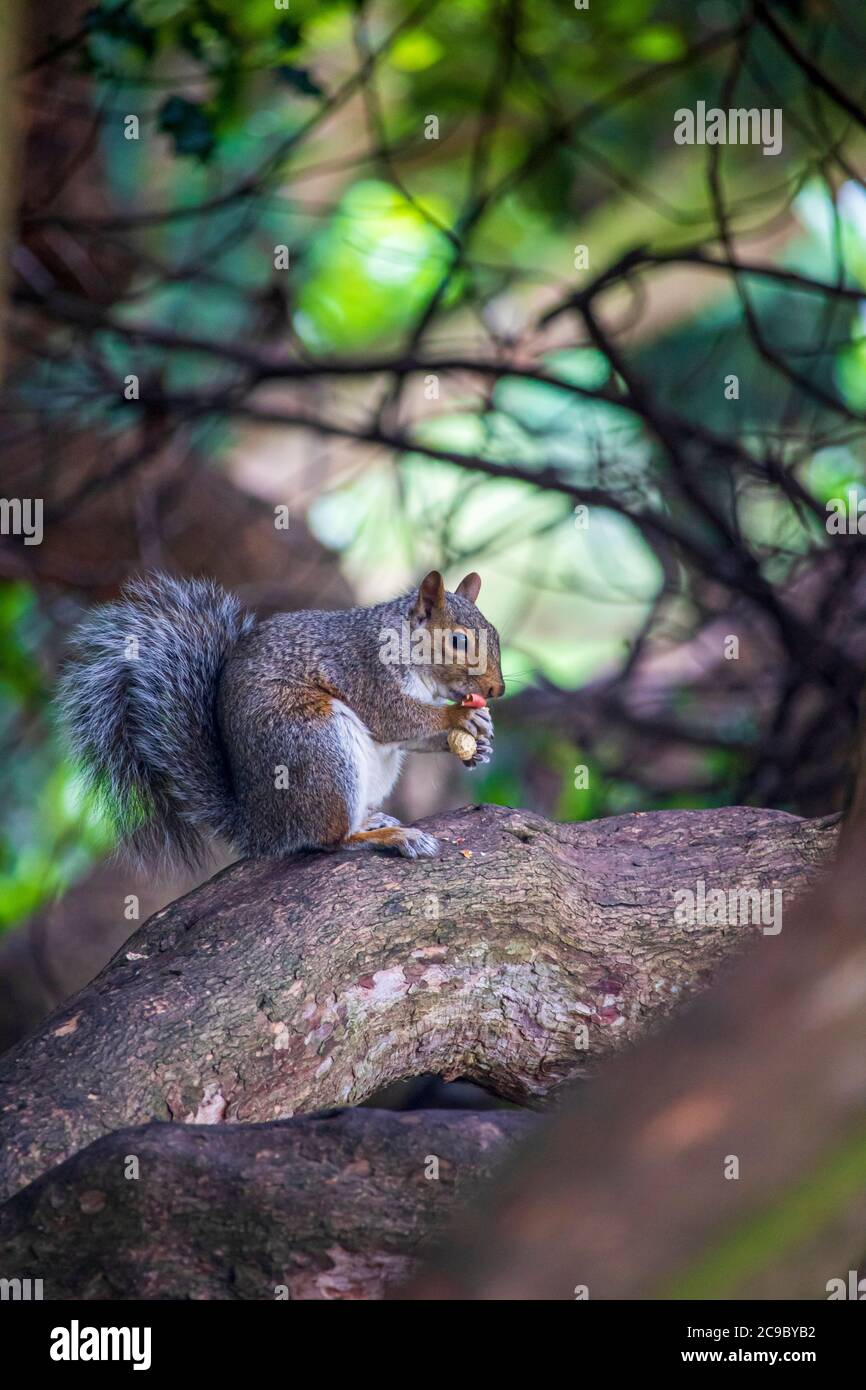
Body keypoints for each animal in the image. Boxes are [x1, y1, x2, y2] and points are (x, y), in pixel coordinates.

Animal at [57, 569, 504, 868]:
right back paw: (391, 837)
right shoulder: (366, 672)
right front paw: (457, 719)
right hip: (316, 744)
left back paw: (375, 819)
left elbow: (411, 737)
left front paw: (480, 741)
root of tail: (261, 825)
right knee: (330, 839)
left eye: (496, 635)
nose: (497, 690)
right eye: (458, 641)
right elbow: (396, 719)